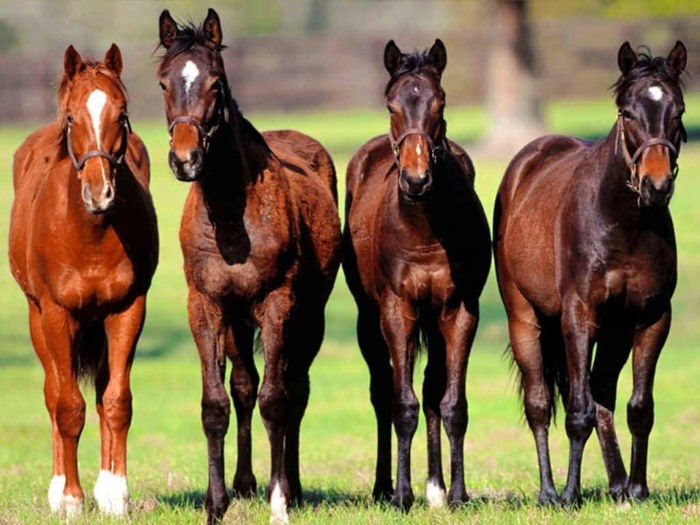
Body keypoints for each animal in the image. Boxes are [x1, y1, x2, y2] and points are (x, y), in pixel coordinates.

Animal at [8, 44, 158, 516]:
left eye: (122, 115)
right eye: (72, 117)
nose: (99, 193)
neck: (90, 232)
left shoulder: (127, 309)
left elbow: (116, 401)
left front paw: (115, 495)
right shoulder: (57, 314)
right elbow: (66, 405)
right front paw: (71, 499)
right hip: (38, 319)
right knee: (53, 392)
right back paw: (59, 489)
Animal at [156, 9, 341, 524]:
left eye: (216, 83)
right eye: (163, 83)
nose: (185, 159)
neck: (230, 217)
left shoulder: (278, 305)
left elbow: (276, 400)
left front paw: (279, 500)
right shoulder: (206, 306)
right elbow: (216, 403)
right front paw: (215, 503)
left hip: (309, 317)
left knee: (295, 388)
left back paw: (291, 487)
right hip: (238, 322)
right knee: (243, 385)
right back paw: (243, 483)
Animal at [343, 39, 491, 511]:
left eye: (439, 102)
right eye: (391, 105)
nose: (415, 178)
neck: (425, 227)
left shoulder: (460, 311)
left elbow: (452, 403)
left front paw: (457, 493)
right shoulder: (397, 310)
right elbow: (401, 404)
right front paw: (401, 495)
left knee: (431, 392)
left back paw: (436, 487)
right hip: (368, 320)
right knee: (383, 392)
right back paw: (383, 486)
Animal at [493, 41, 687, 506]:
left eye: (679, 111)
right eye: (627, 112)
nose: (656, 186)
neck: (624, 223)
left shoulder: (652, 318)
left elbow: (639, 407)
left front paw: (638, 489)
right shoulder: (579, 315)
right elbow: (575, 411)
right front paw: (570, 494)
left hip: (614, 331)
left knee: (602, 396)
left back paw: (617, 484)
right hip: (525, 318)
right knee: (541, 402)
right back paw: (549, 491)